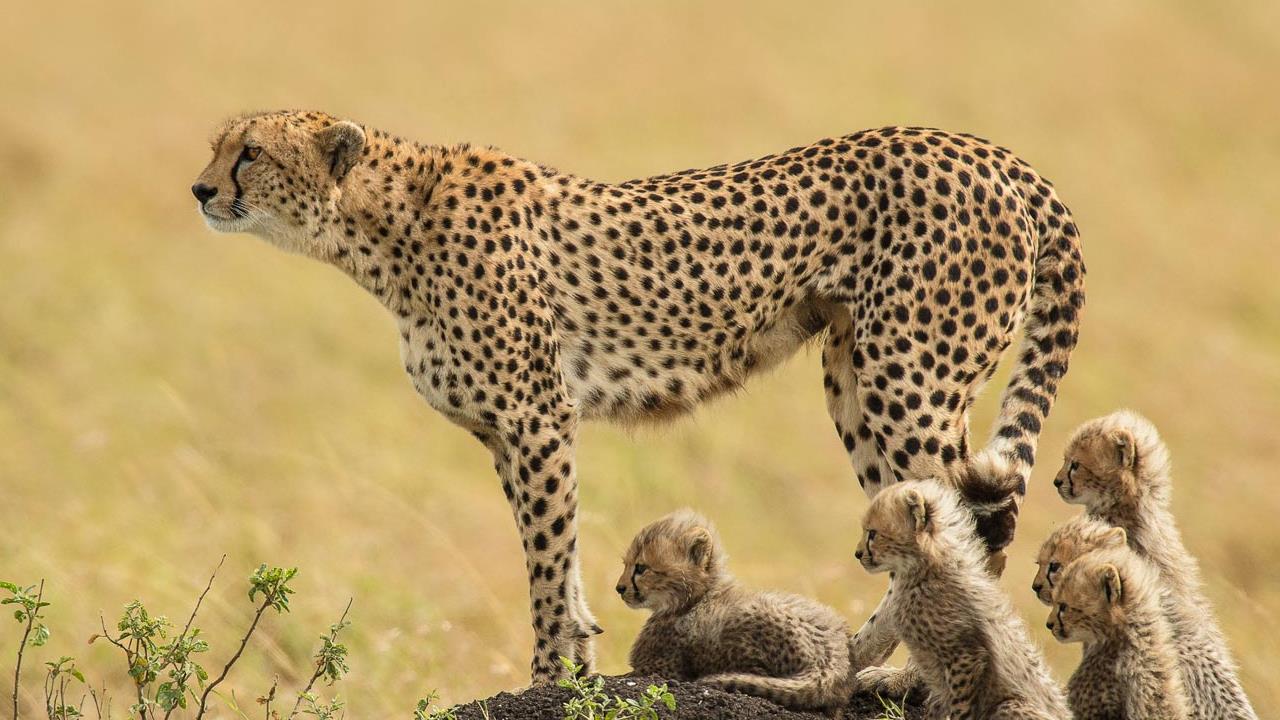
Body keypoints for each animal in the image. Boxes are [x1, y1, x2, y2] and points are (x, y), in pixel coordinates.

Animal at [192, 109, 1085, 683]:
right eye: (218, 147)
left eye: (250, 153)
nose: (200, 190)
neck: (383, 228)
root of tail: (992, 152)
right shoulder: (509, 432)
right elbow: (556, 557)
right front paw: (579, 655)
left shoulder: (537, 417)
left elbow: (547, 556)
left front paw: (552, 673)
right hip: (855, 379)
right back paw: (860, 661)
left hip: (909, 377)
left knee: (965, 528)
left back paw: (910, 677)